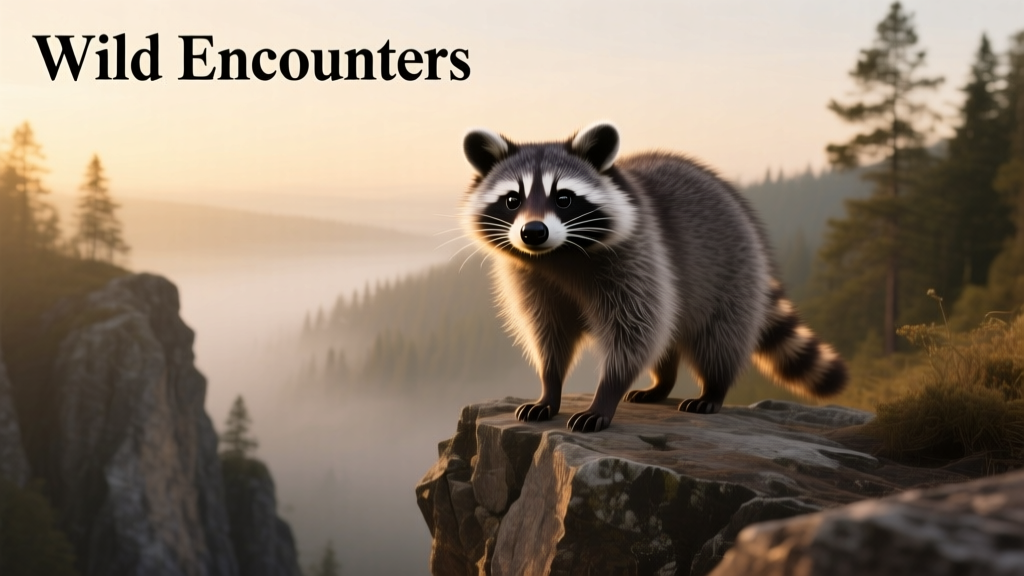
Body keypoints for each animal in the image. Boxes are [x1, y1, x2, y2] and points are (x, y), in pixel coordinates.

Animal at [459, 122, 847, 432]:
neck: (558, 257)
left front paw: (605, 396)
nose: (533, 233)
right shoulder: (532, 279)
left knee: (718, 336)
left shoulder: (639, 259)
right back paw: (662, 383)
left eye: (564, 198)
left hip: (731, 273)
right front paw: (549, 388)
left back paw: (713, 388)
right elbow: (548, 334)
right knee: (669, 335)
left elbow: (633, 333)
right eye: (512, 200)